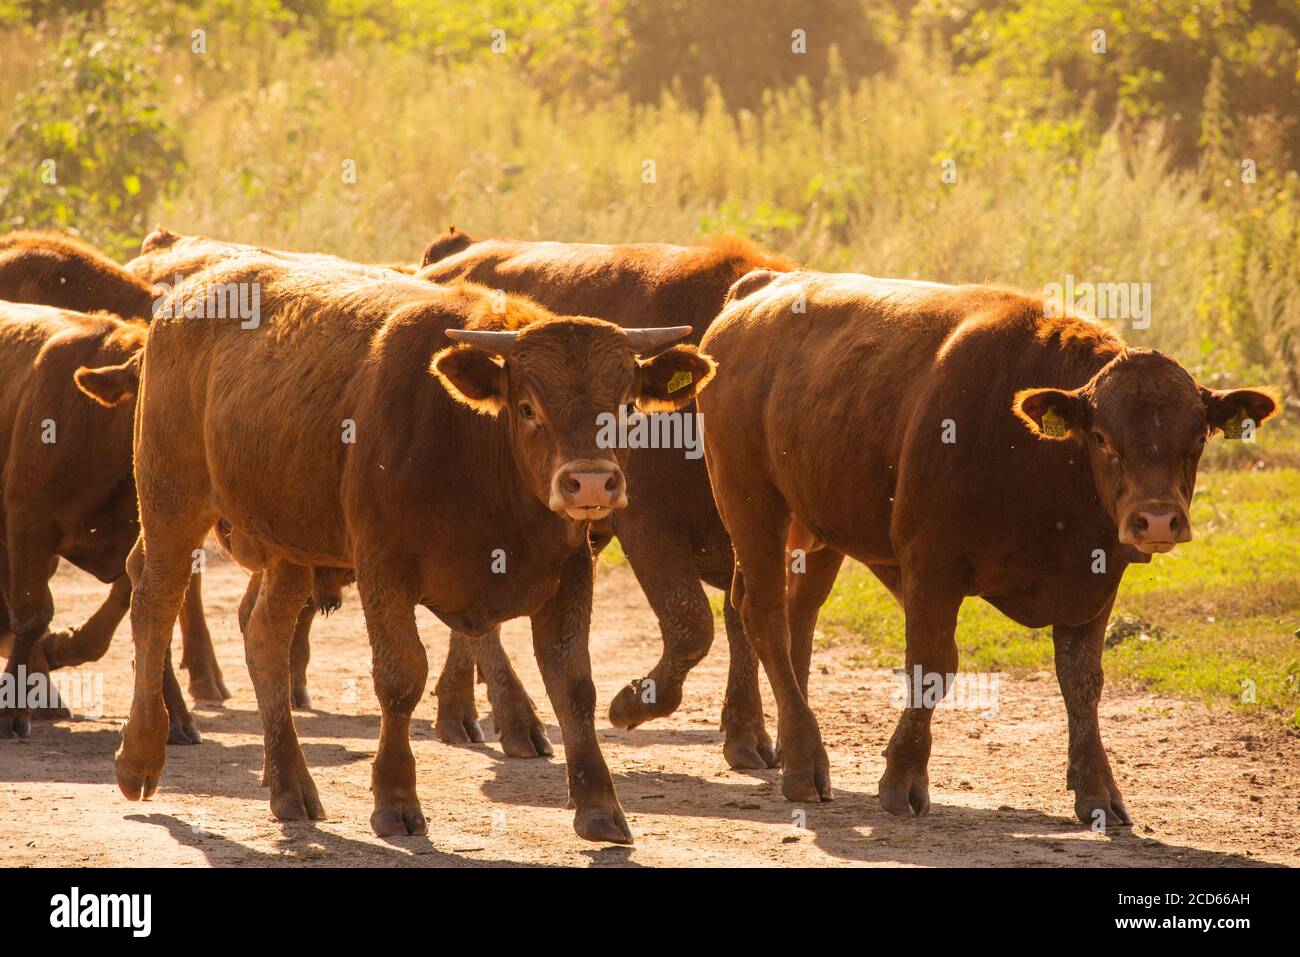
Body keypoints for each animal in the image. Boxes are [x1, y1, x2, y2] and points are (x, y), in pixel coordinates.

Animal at [112, 255, 714, 842]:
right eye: (526, 407)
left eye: (628, 406)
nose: (589, 483)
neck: (477, 457)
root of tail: (189, 292)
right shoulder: (383, 565)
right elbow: (401, 678)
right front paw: (396, 799)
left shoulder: (569, 567)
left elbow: (573, 684)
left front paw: (599, 806)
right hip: (172, 504)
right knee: (154, 605)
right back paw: (140, 757)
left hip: (289, 548)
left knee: (265, 640)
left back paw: (290, 786)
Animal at [420, 228, 797, 769]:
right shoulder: (649, 526)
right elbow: (692, 625)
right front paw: (631, 703)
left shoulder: (747, 535)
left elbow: (740, 620)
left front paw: (746, 734)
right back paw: (518, 722)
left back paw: (457, 710)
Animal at [697, 269, 1278, 826]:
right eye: (1102, 438)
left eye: (1197, 439)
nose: (1156, 519)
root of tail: (760, 287)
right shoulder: (930, 562)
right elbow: (932, 665)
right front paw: (903, 778)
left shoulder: (1096, 580)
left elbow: (1082, 681)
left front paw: (1097, 792)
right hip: (751, 501)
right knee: (764, 614)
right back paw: (801, 763)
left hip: (815, 524)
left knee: (797, 618)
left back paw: (782, 743)